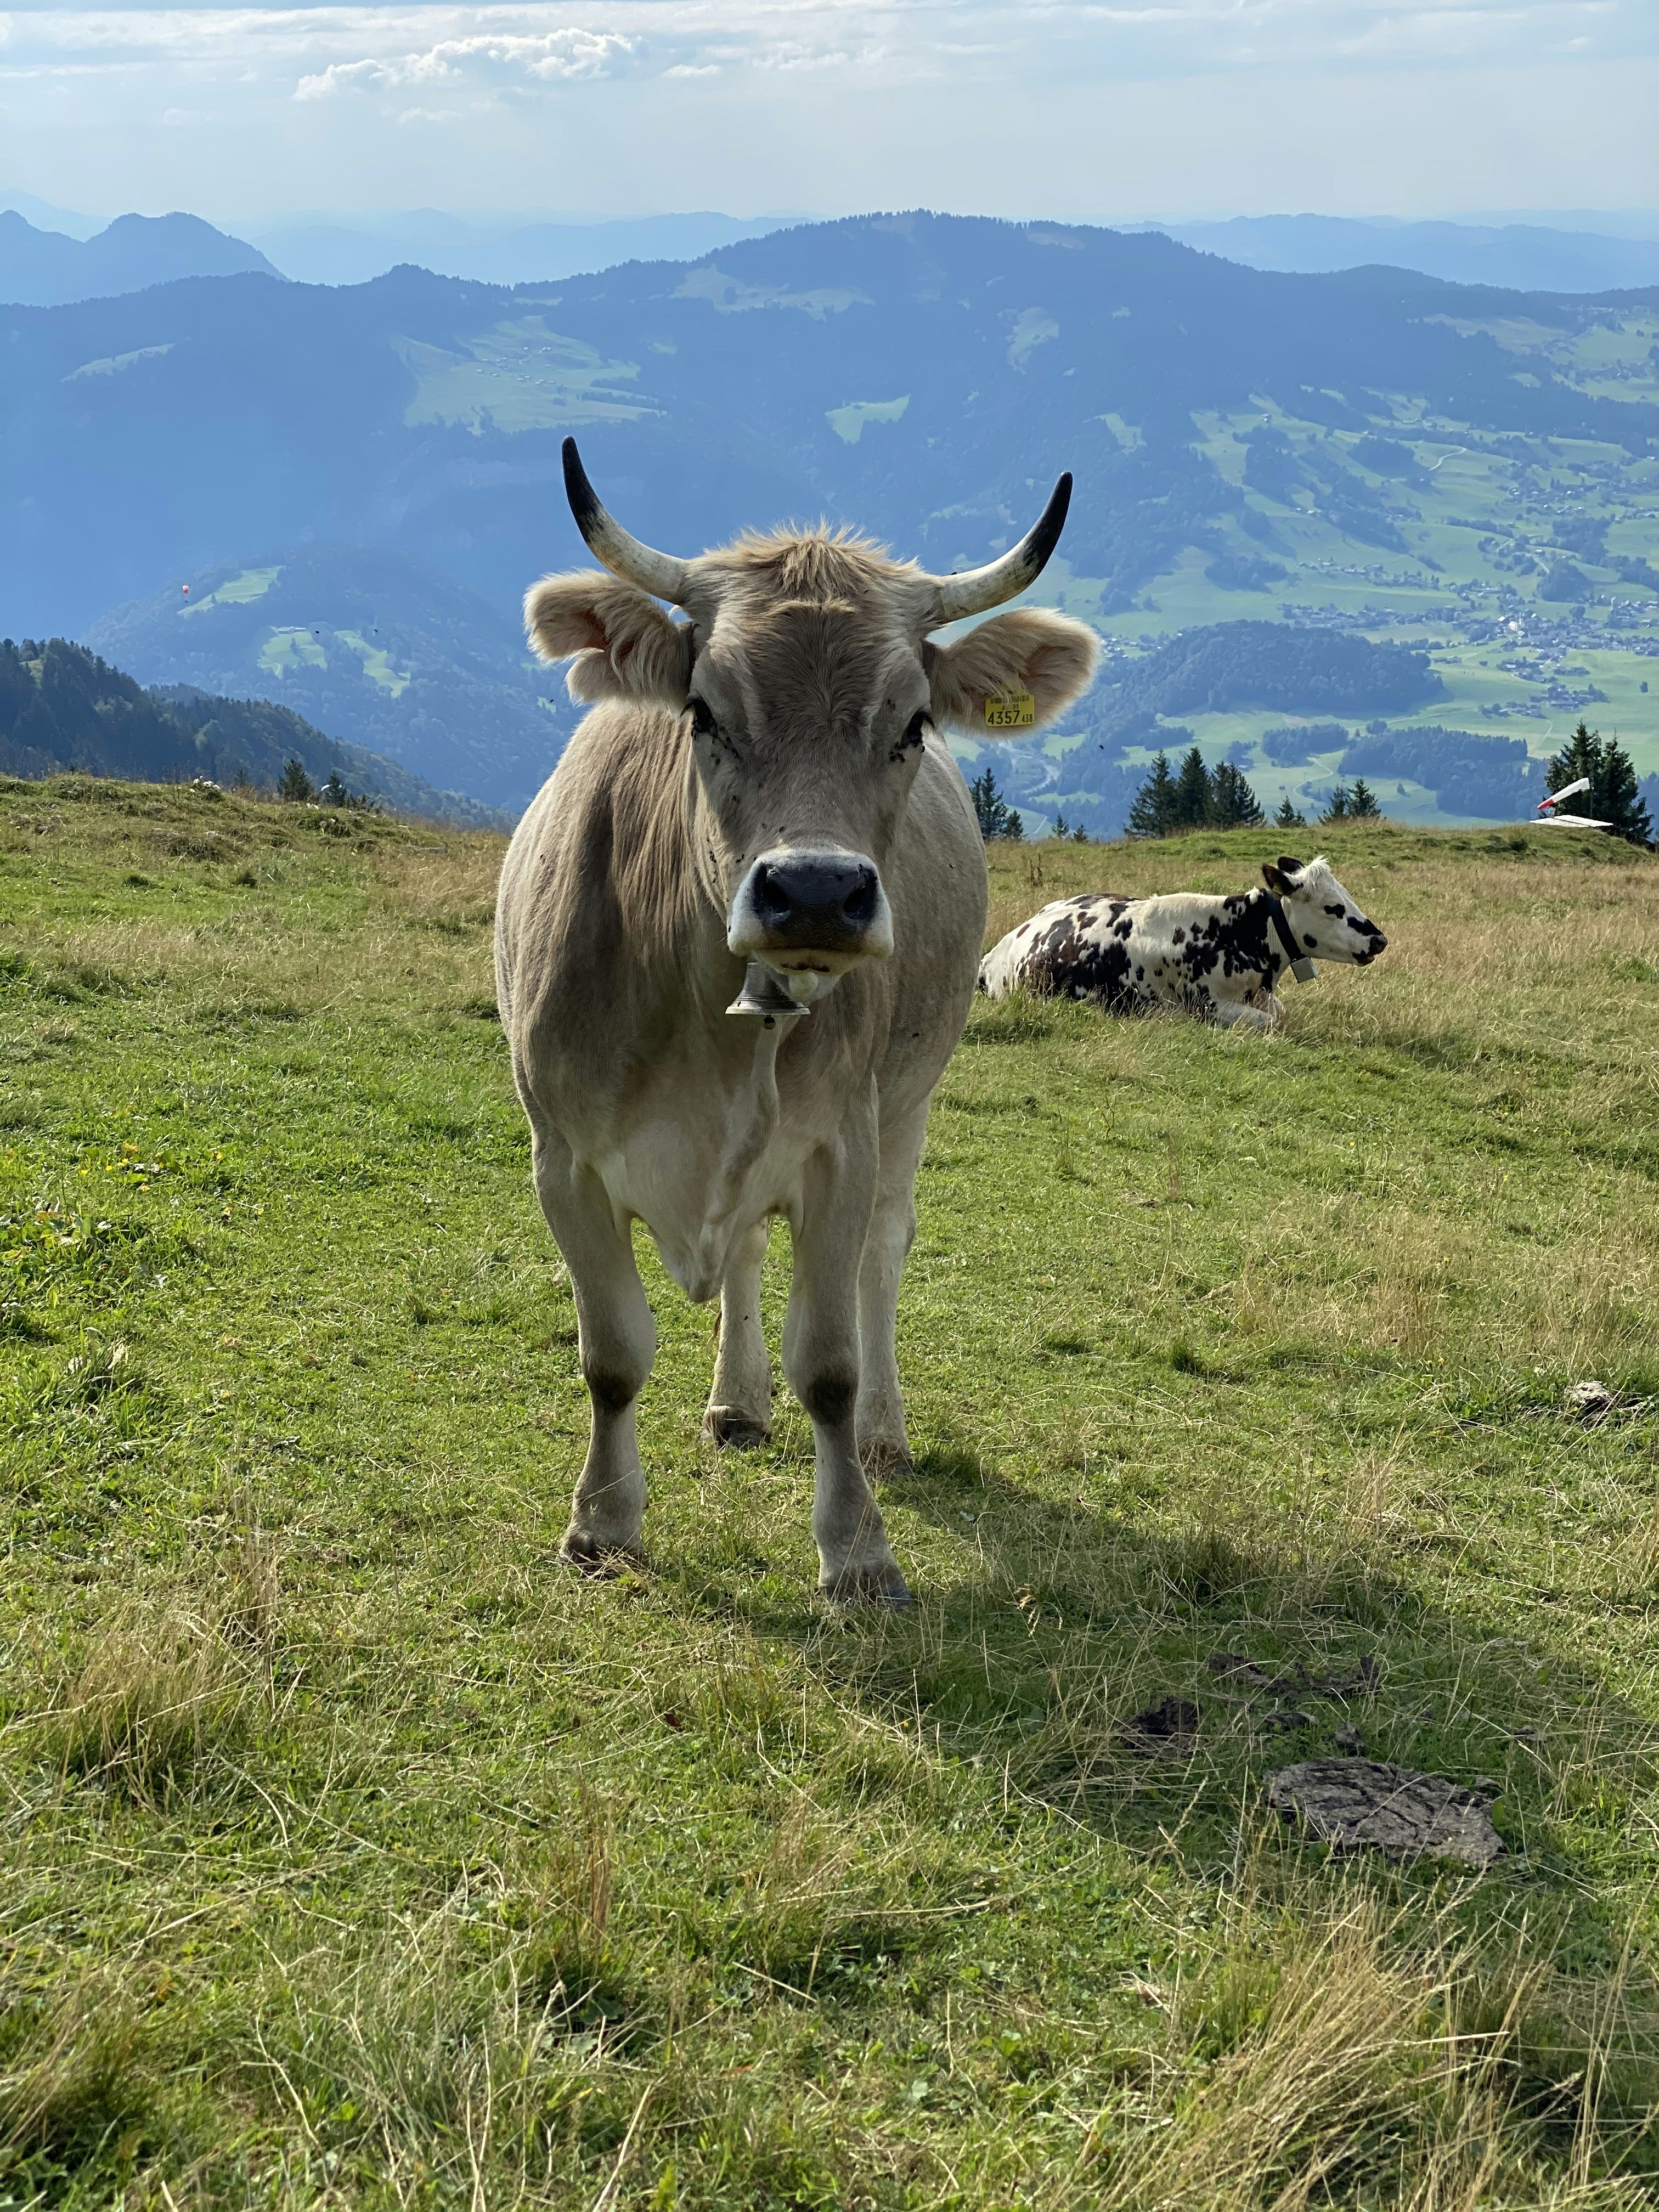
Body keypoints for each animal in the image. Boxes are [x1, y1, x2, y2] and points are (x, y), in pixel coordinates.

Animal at [494, 441, 1098, 1604]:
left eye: (910, 722)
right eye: (703, 712)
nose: (815, 892)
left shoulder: (839, 1146)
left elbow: (828, 1360)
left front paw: (857, 1548)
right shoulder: (561, 1157)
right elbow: (612, 1355)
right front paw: (602, 1524)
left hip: (907, 1101)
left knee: (883, 1258)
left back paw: (883, 1433)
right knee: (739, 1254)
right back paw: (735, 1402)